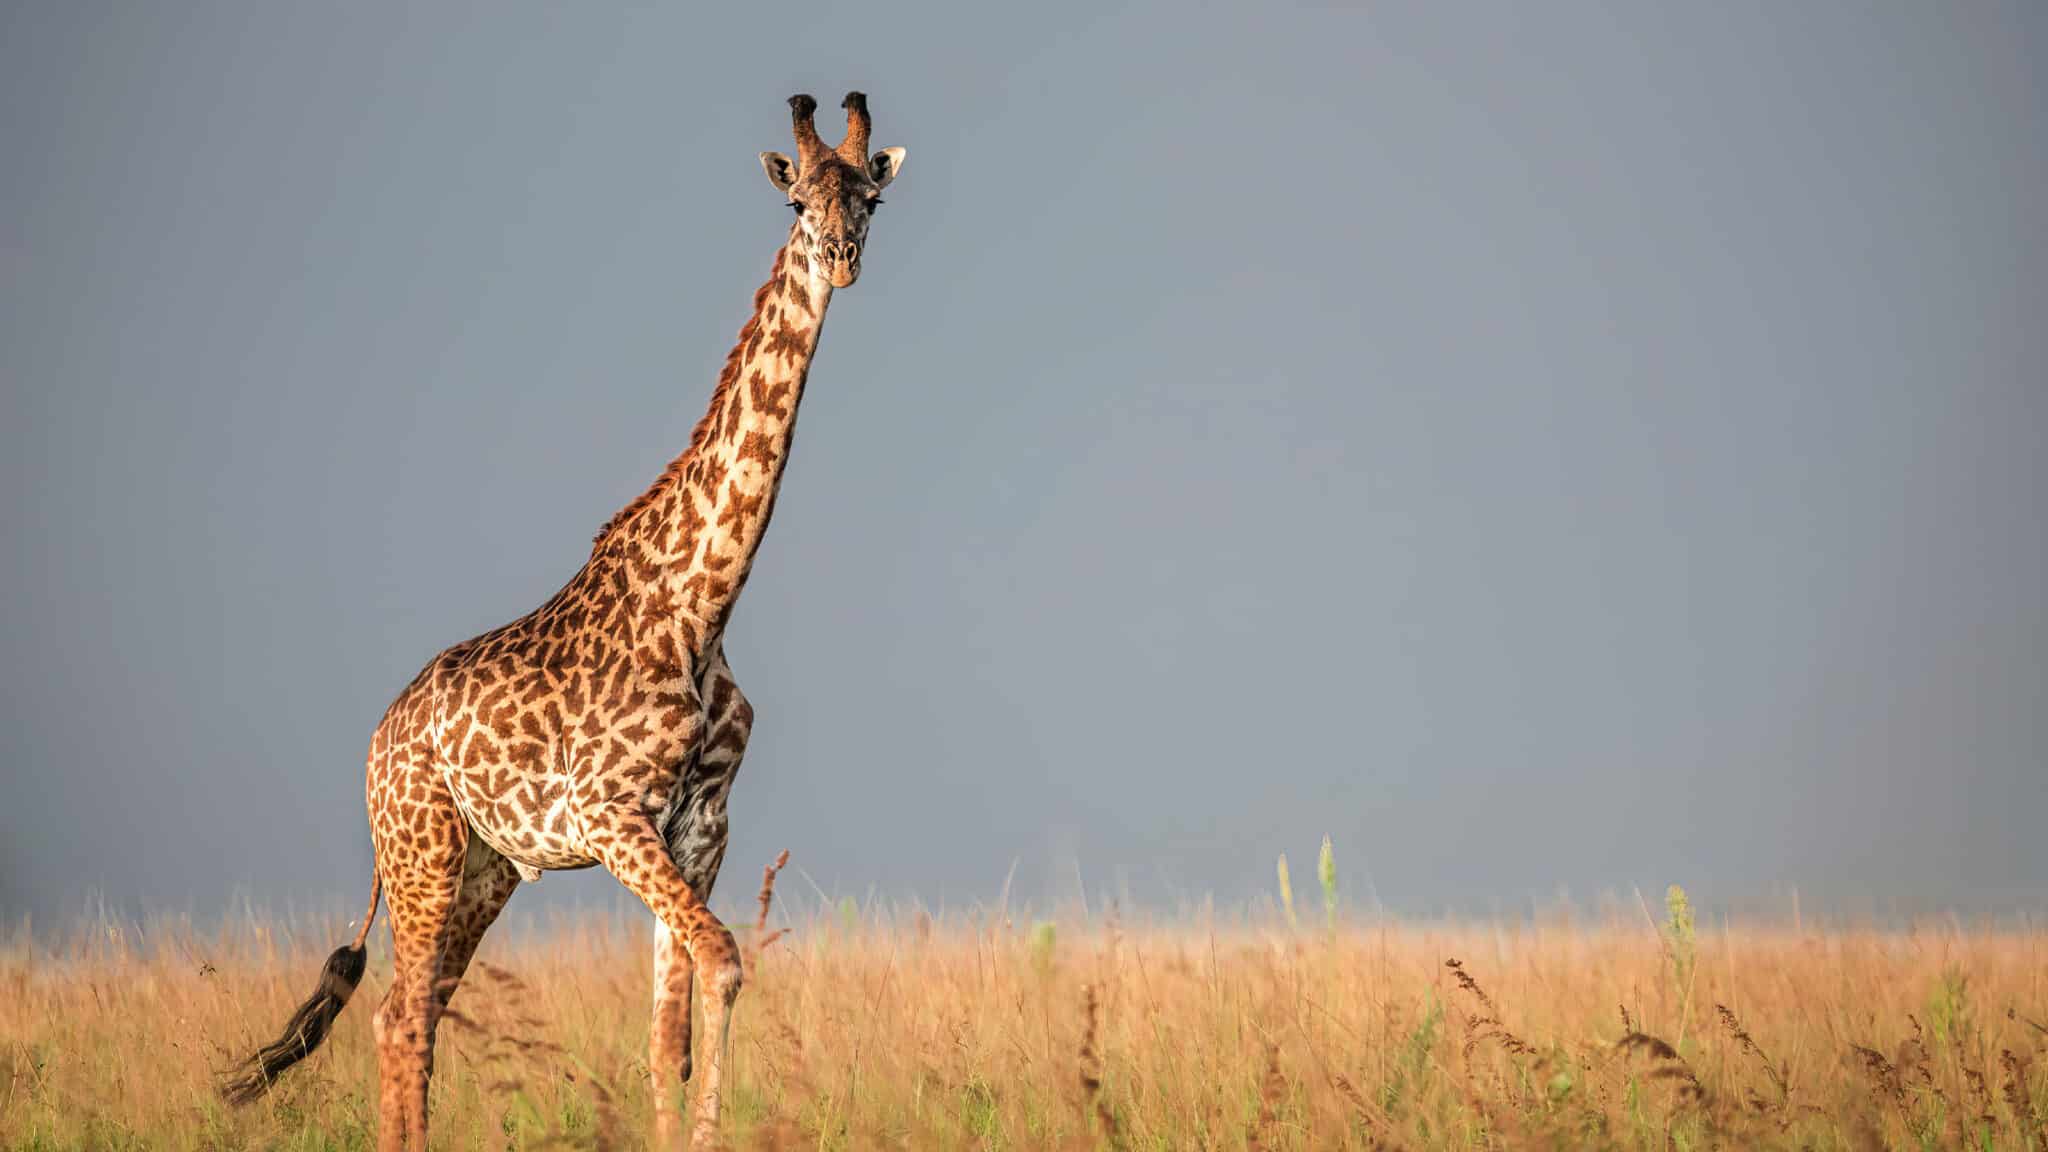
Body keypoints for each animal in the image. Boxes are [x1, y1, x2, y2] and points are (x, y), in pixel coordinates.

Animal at [220, 92, 907, 1150]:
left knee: (409, 1010)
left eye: (870, 197)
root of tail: (378, 746)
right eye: (799, 203)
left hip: (486, 868)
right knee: (403, 1013)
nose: (841, 256)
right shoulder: (611, 813)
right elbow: (724, 962)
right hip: (422, 851)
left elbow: (671, 1035)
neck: (702, 606)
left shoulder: (702, 828)